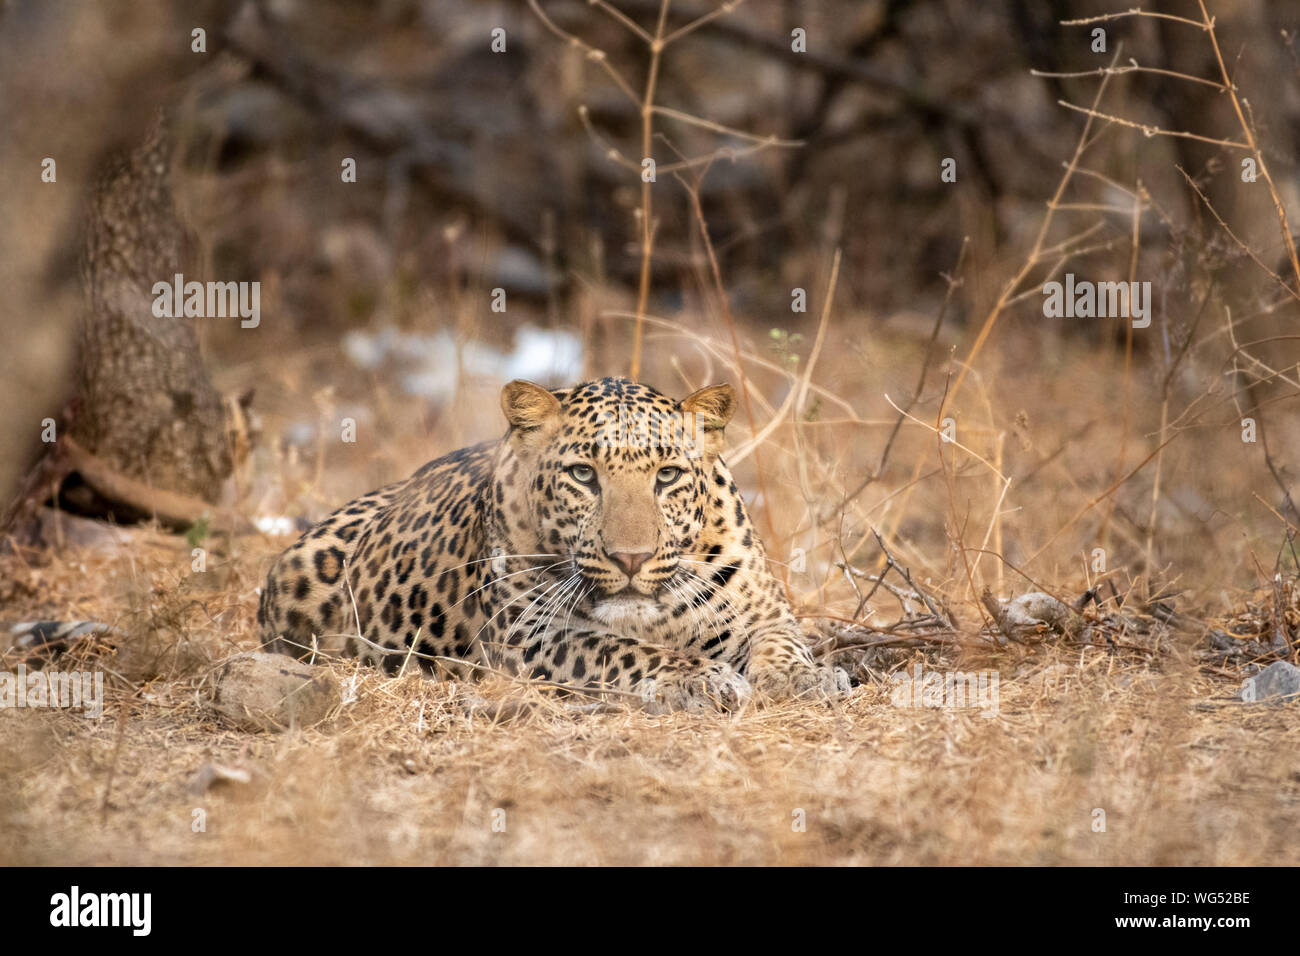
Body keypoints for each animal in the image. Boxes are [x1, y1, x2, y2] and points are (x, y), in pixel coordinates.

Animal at [256, 377, 849, 712]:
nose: (630, 559)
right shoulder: (533, 638)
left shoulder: (765, 613)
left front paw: (807, 678)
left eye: (667, 475)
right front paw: (700, 679)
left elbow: (783, 643)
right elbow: (625, 649)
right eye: (583, 475)